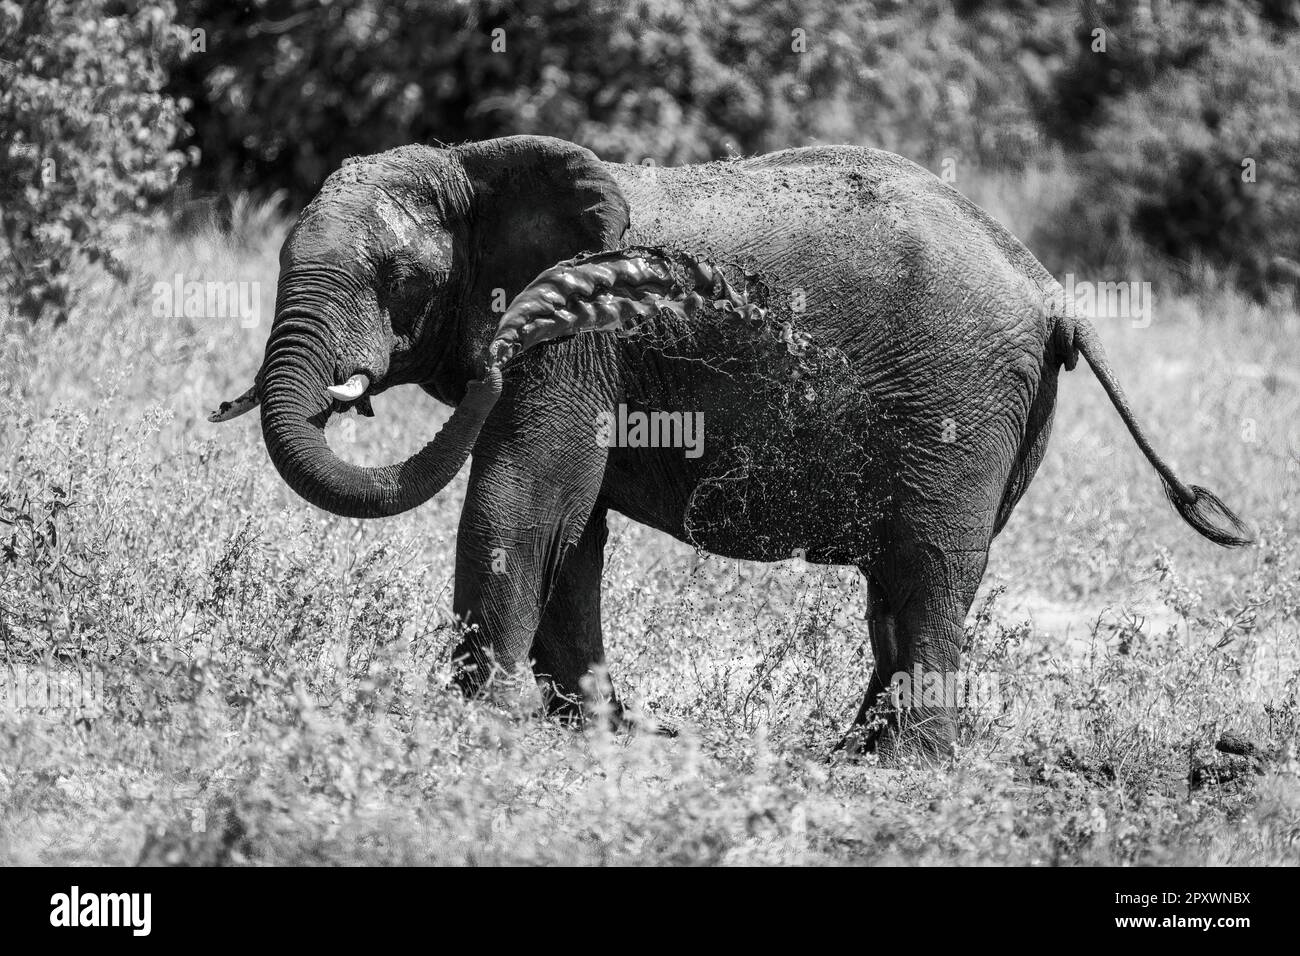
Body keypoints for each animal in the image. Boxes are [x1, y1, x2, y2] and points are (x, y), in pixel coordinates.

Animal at [210, 135, 1249, 759]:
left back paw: (905, 764)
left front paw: (482, 726)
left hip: (962, 398)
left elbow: (525, 498)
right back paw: (854, 753)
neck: (478, 162)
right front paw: (592, 731)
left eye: (399, 278)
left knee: (930, 567)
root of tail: (1048, 287)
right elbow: (571, 530)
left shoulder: (574, 344)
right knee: (903, 579)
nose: (497, 356)